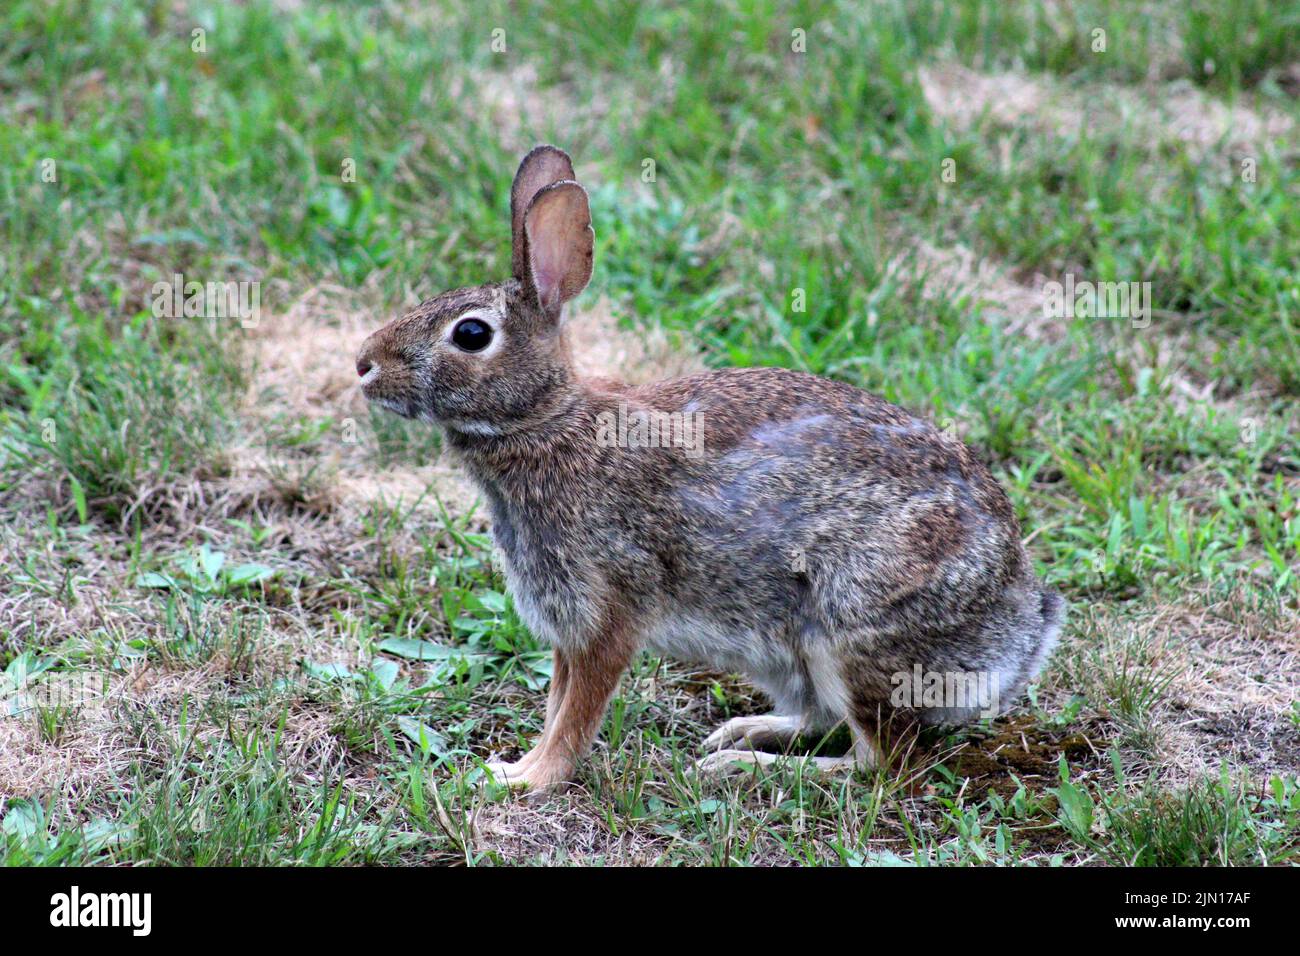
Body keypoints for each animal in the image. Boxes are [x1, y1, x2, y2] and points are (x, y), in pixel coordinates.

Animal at [355, 145, 1064, 791]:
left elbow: (576, 716)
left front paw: (523, 779)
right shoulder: (566, 627)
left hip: (852, 632)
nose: (363, 364)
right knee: (821, 720)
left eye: (470, 335)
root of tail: (1021, 626)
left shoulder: (608, 613)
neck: (546, 424)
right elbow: (557, 702)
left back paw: (740, 766)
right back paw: (743, 733)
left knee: (879, 764)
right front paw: (517, 767)